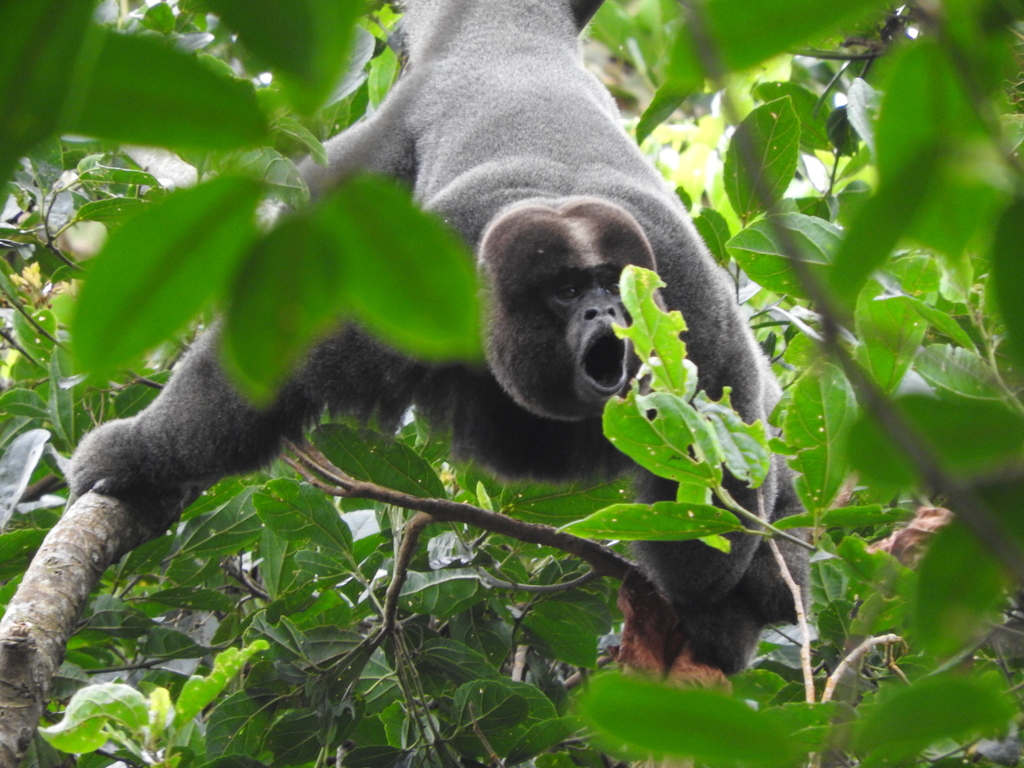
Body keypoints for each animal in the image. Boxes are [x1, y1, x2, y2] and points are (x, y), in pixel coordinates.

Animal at [68, 0, 807, 675]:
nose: (608, 313)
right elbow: (276, 364)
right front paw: (142, 455)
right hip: (376, 144)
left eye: (608, 282)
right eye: (569, 290)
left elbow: (737, 435)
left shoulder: (688, 299)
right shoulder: (417, 289)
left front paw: (712, 593)